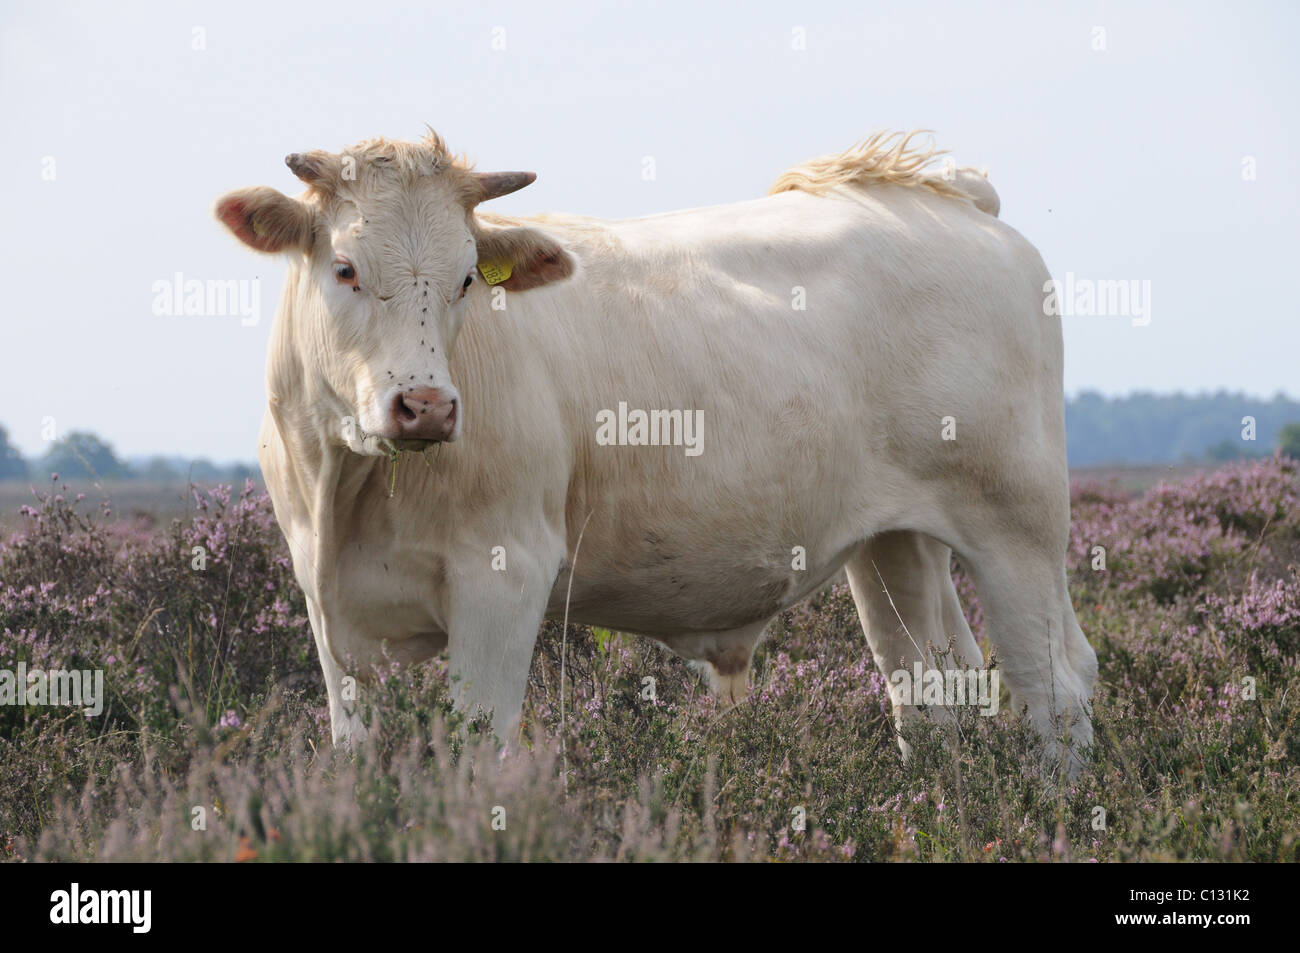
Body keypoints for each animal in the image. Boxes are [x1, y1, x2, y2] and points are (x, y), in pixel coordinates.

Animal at [215, 129, 1097, 775]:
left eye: (468, 276)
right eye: (344, 267)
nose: (426, 404)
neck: (348, 483)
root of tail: (954, 201)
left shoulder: (503, 574)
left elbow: (478, 745)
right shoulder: (327, 605)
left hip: (1016, 524)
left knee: (1056, 686)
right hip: (896, 541)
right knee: (929, 684)